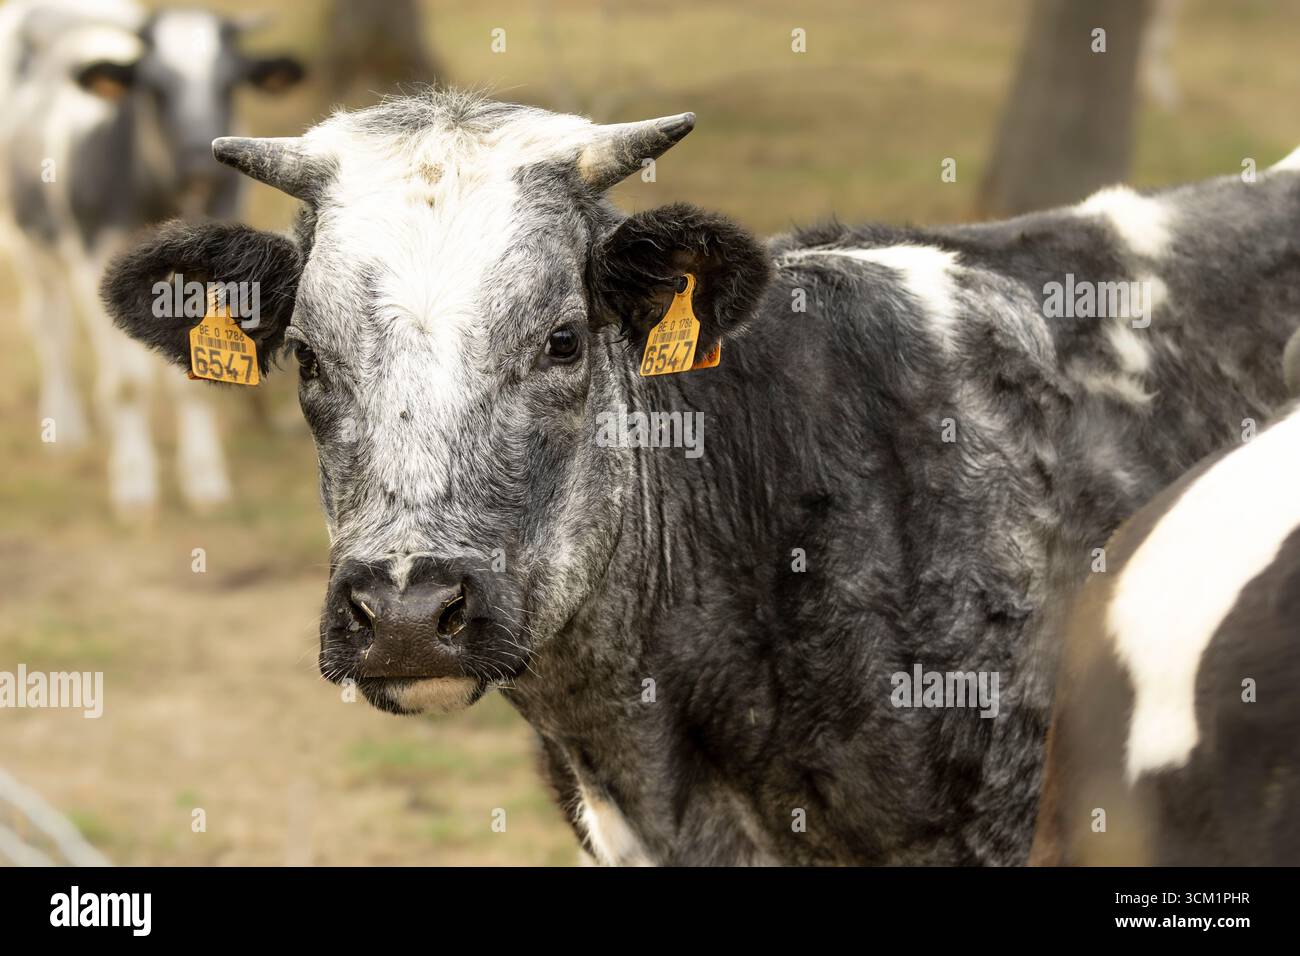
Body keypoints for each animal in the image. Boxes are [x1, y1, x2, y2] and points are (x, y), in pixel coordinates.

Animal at [0, 0, 302, 514]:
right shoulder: (94, 256)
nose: (201, 160)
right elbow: (127, 383)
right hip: (23, 237)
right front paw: (135, 483)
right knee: (49, 324)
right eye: (156, 88)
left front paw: (205, 480)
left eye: (230, 82)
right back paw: (65, 423)